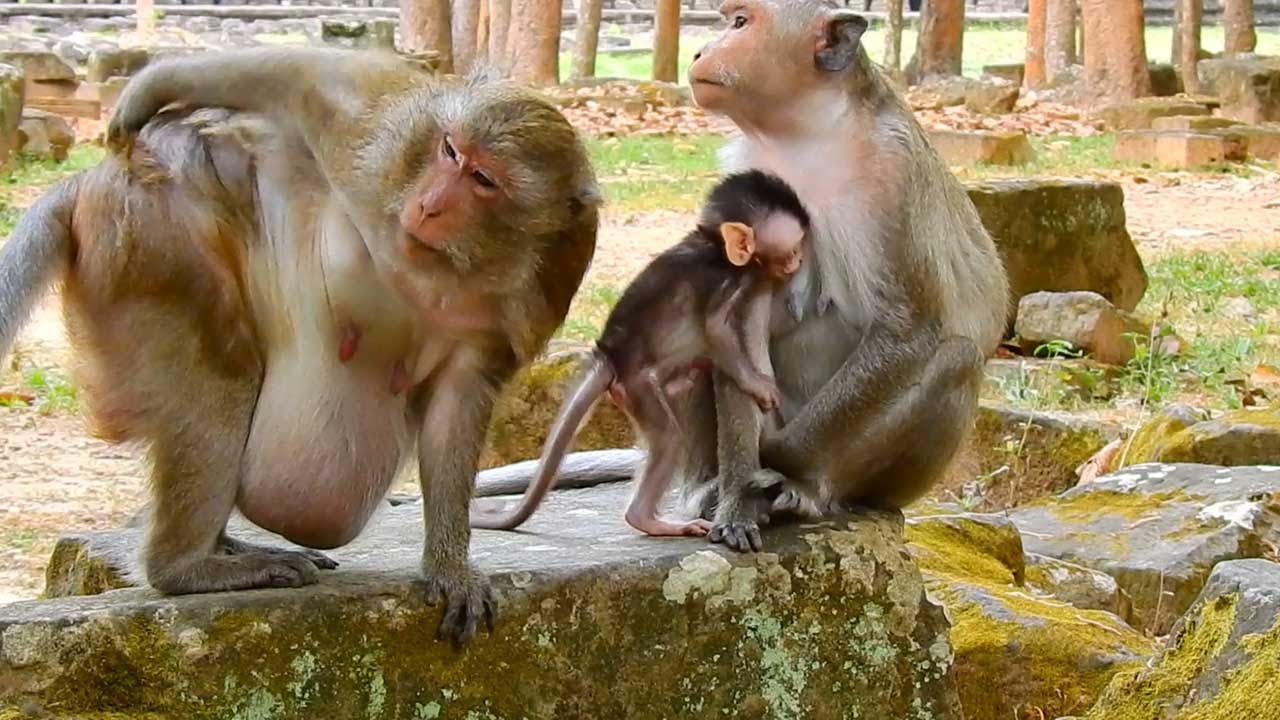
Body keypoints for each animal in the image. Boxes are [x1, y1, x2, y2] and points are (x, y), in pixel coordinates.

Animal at [0, 47, 599, 646]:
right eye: (450, 150)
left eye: (482, 178)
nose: (429, 205)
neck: (450, 264)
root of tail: (89, 184)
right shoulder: (381, 147)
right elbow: (305, 79)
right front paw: (141, 97)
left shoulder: (542, 285)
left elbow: (457, 406)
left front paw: (451, 566)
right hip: (148, 243)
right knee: (221, 378)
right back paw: (185, 568)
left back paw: (217, 548)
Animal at [471, 170, 809, 538]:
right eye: (792, 248)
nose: (798, 260)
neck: (713, 244)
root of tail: (609, 355)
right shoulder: (720, 282)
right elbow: (717, 329)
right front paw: (757, 385)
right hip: (636, 386)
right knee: (668, 437)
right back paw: (645, 519)